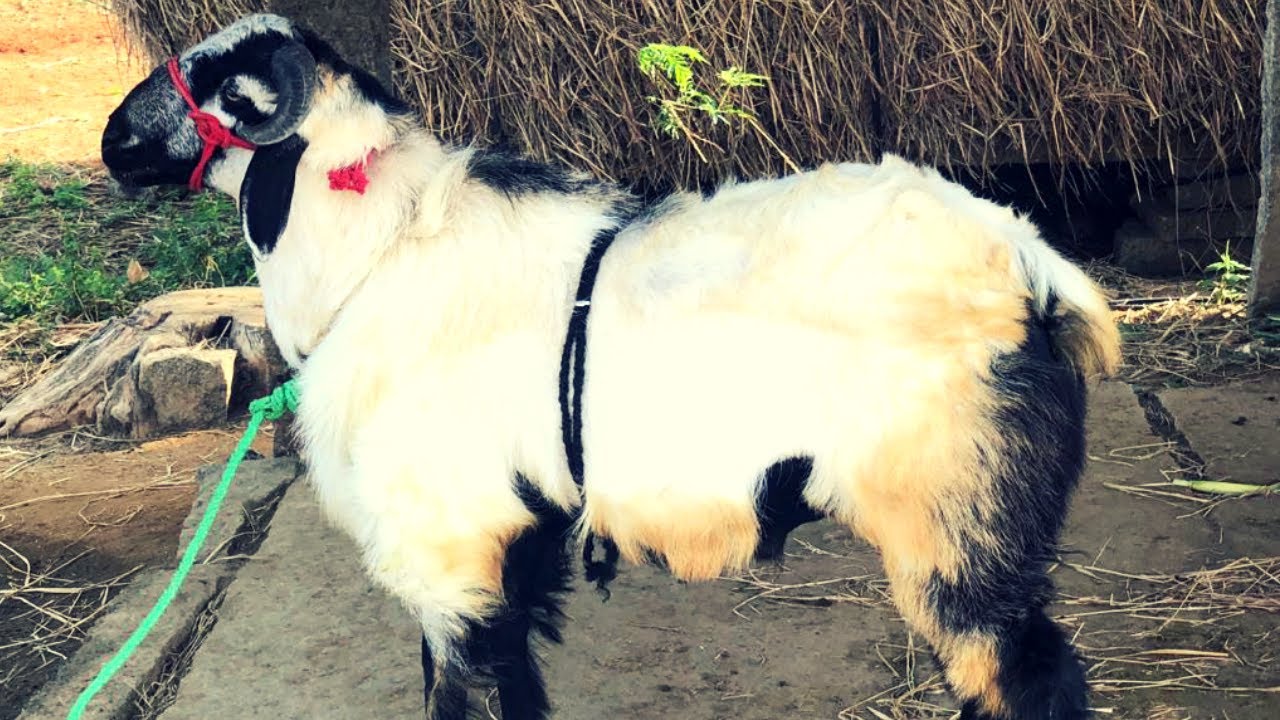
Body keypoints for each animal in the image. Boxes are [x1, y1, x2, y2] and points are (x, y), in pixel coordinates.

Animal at [101, 14, 1121, 720]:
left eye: (215, 81)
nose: (113, 138)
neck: (374, 258)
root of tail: (1035, 268)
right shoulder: (509, 546)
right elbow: (510, 687)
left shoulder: (447, 544)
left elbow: (460, 691)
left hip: (957, 506)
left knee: (1025, 675)